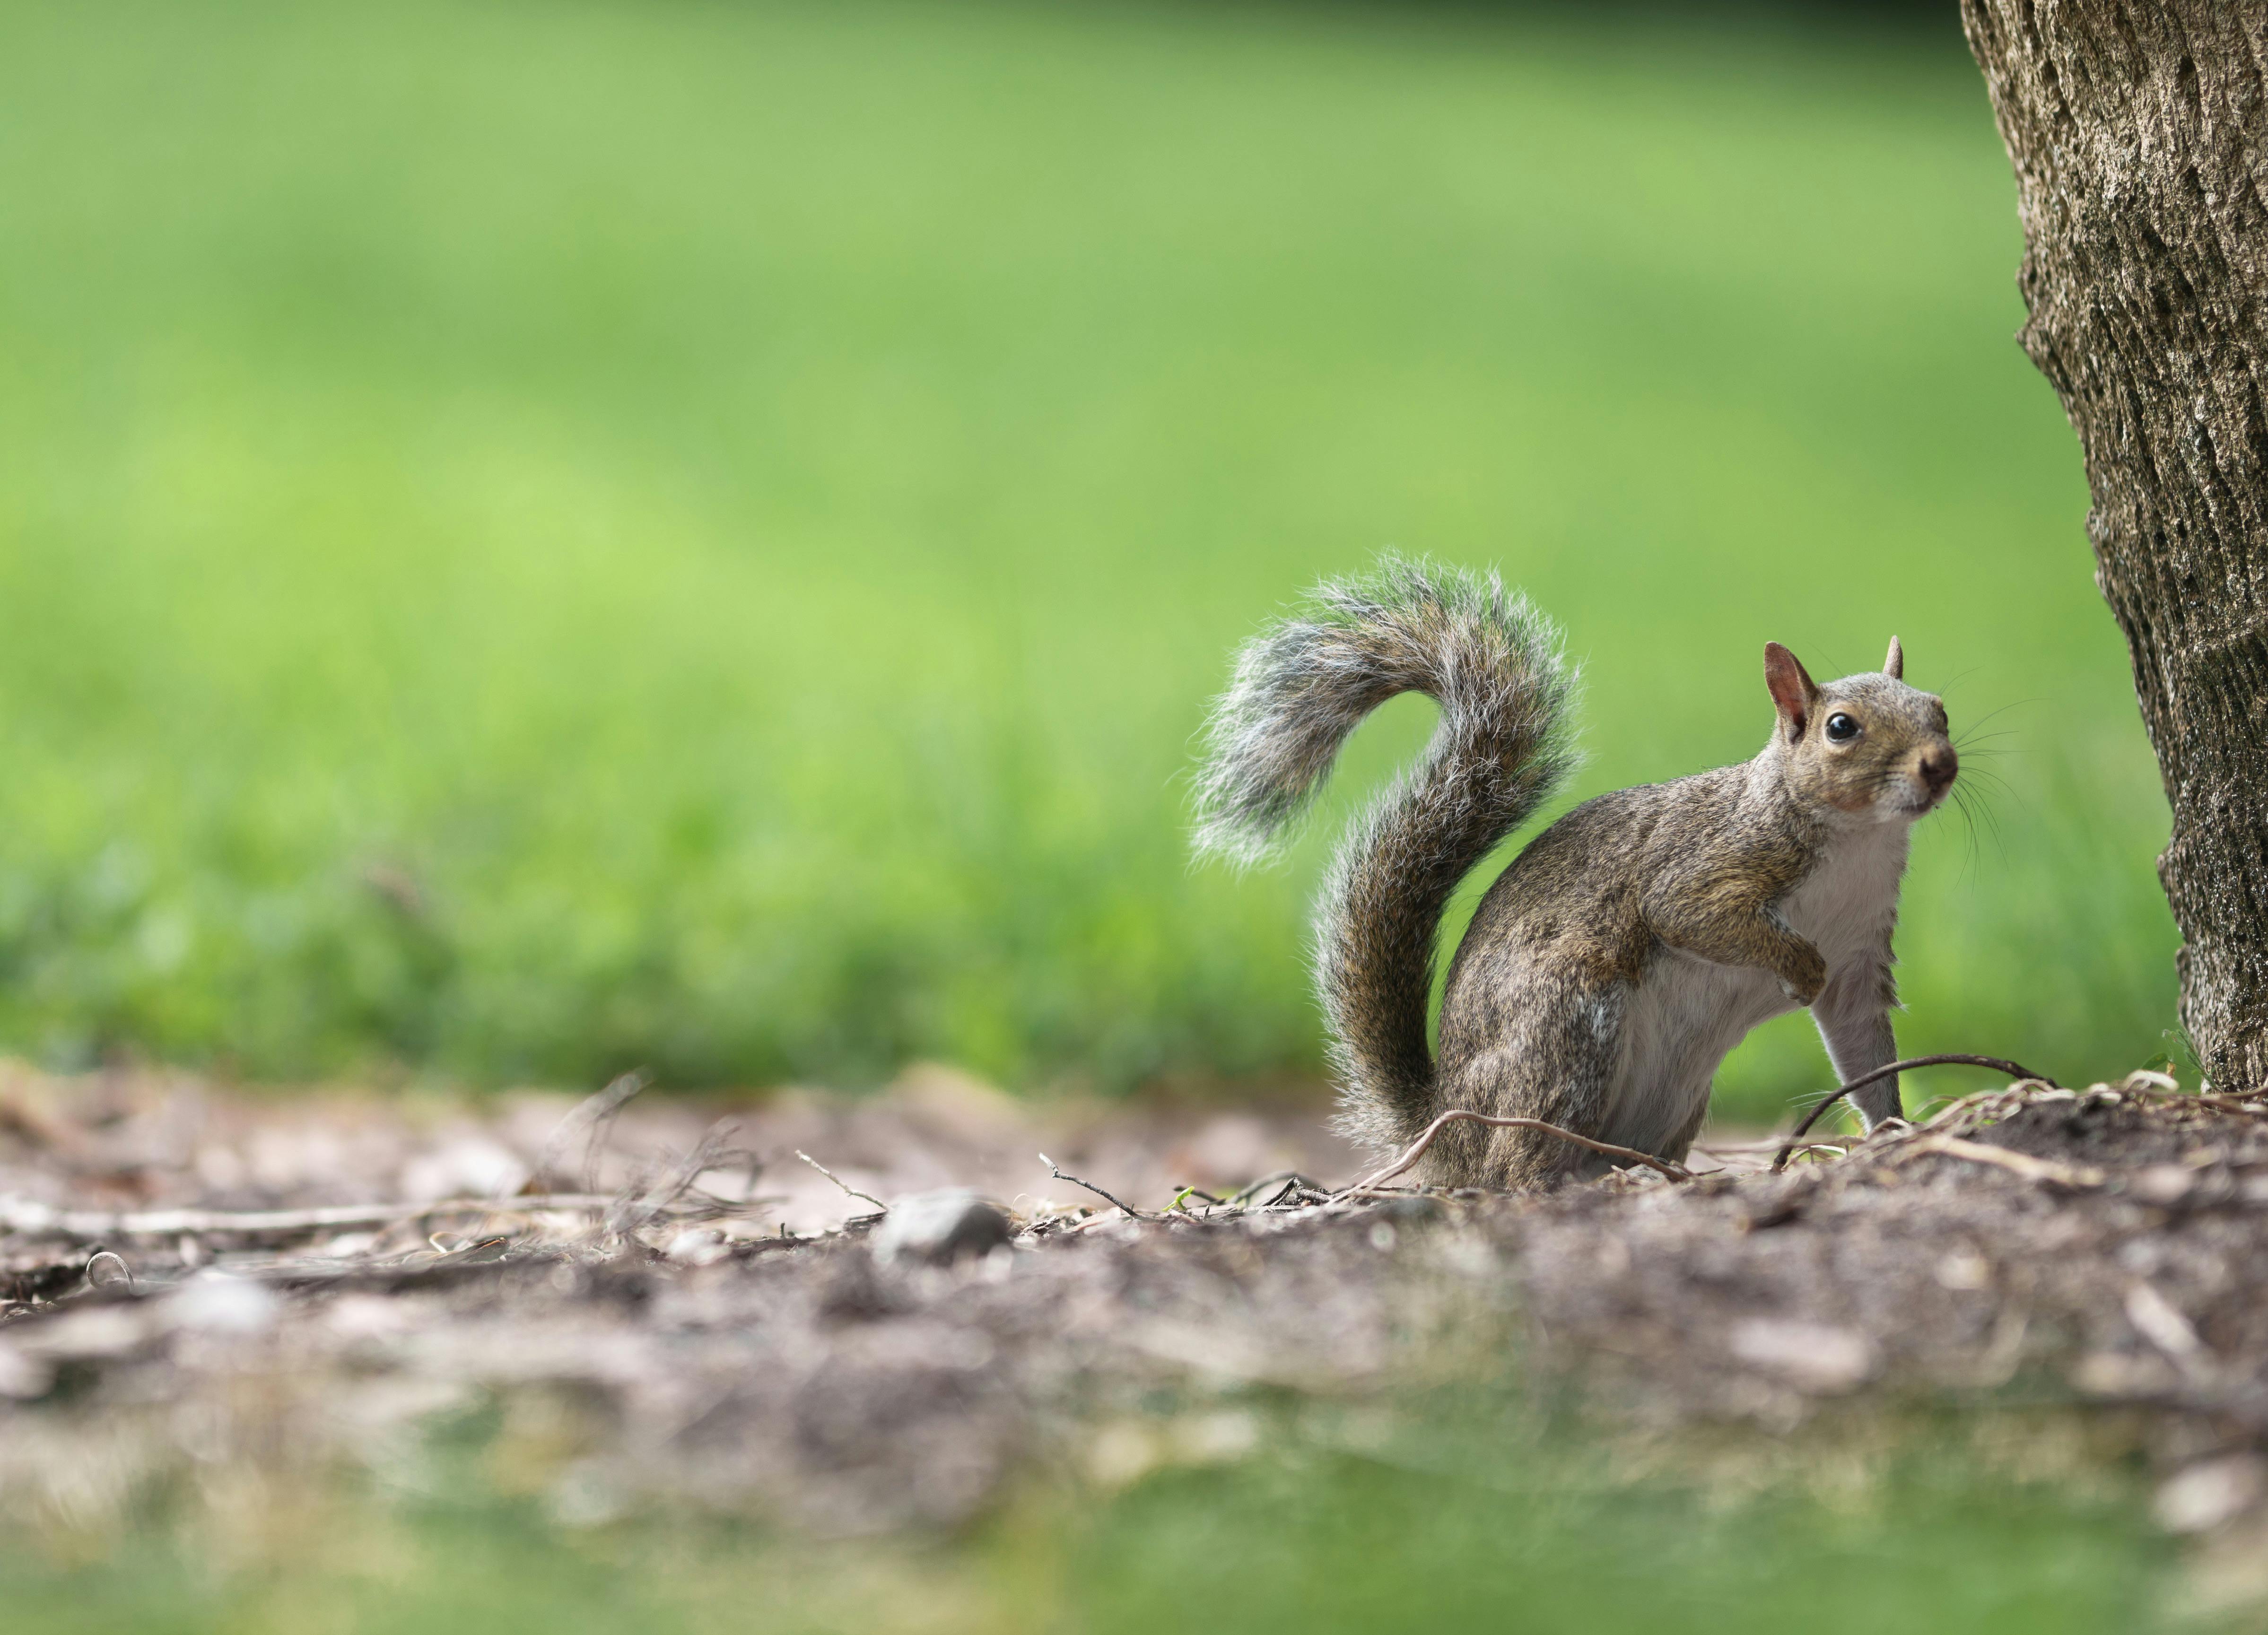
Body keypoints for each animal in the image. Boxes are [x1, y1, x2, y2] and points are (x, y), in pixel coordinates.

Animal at [1192, 557, 1959, 1190]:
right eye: (1841, 727)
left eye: (1939, 709)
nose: (1939, 764)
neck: (1857, 841)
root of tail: (1446, 1127)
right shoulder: (1711, 862)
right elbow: (1691, 914)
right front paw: (1797, 966)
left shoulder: (1859, 953)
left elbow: (1865, 1053)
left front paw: (1895, 1131)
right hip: (1569, 1022)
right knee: (1513, 1166)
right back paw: (1555, 1177)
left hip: (1673, 1093)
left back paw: (1644, 1172)